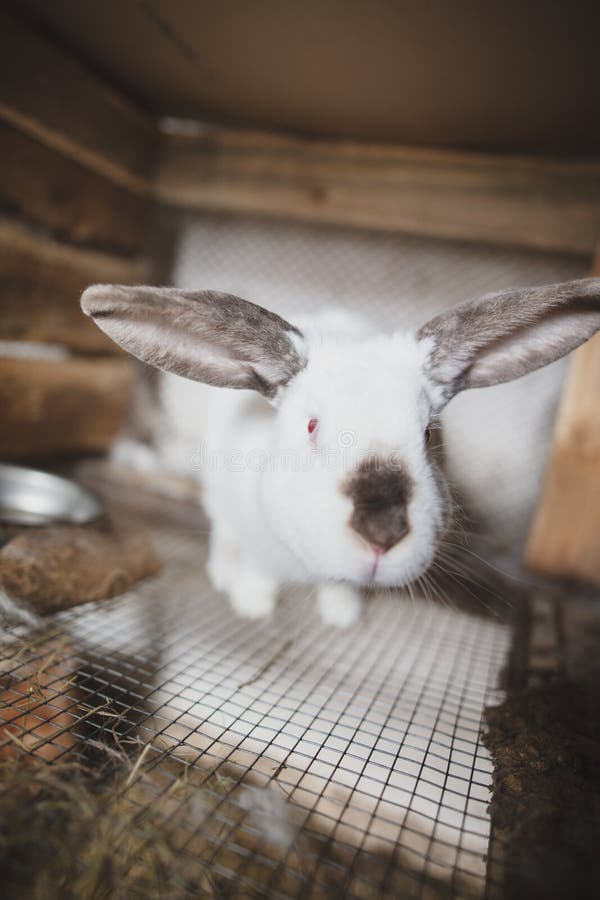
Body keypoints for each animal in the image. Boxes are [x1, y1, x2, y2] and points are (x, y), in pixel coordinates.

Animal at [81, 279, 600, 627]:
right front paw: (254, 606)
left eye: (429, 434)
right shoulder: (253, 535)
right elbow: (256, 566)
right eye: (312, 426)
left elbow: (338, 585)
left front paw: (342, 616)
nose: (382, 532)